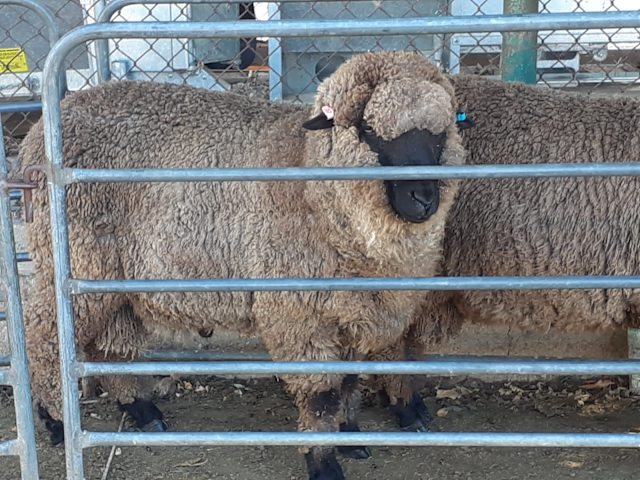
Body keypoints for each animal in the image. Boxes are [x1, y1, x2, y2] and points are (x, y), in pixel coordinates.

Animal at [21, 51, 465, 480]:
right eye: (368, 131)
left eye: (439, 134)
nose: (423, 199)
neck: (312, 182)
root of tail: (40, 131)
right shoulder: (297, 314)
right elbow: (321, 396)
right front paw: (322, 463)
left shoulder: (354, 312)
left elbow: (348, 382)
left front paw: (348, 438)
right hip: (75, 261)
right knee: (44, 336)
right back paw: (55, 422)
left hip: (109, 277)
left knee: (112, 342)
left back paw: (142, 412)